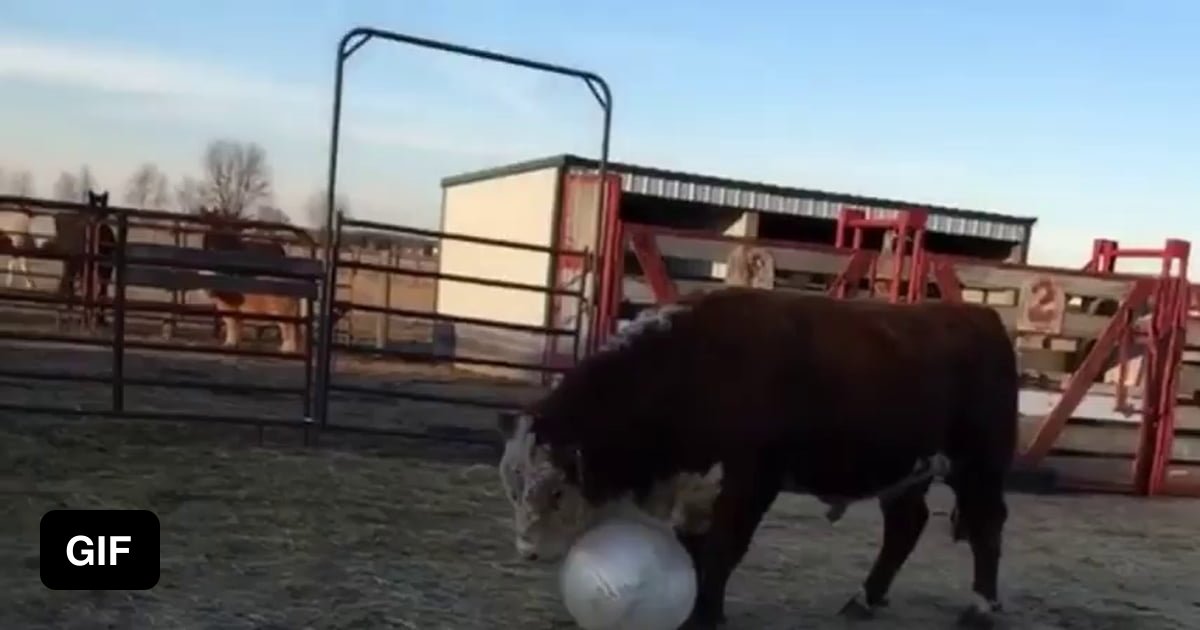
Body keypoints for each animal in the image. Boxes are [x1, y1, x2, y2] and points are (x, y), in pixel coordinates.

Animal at [497, 287, 1018, 629]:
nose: (526, 550)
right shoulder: (698, 487)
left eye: (557, 489)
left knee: (987, 525)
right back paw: (865, 599)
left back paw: (981, 608)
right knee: (906, 525)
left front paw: (705, 616)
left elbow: (723, 549)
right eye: (512, 485)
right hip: (906, 470)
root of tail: (979, 315)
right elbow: (696, 549)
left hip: (980, 463)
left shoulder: (750, 481)